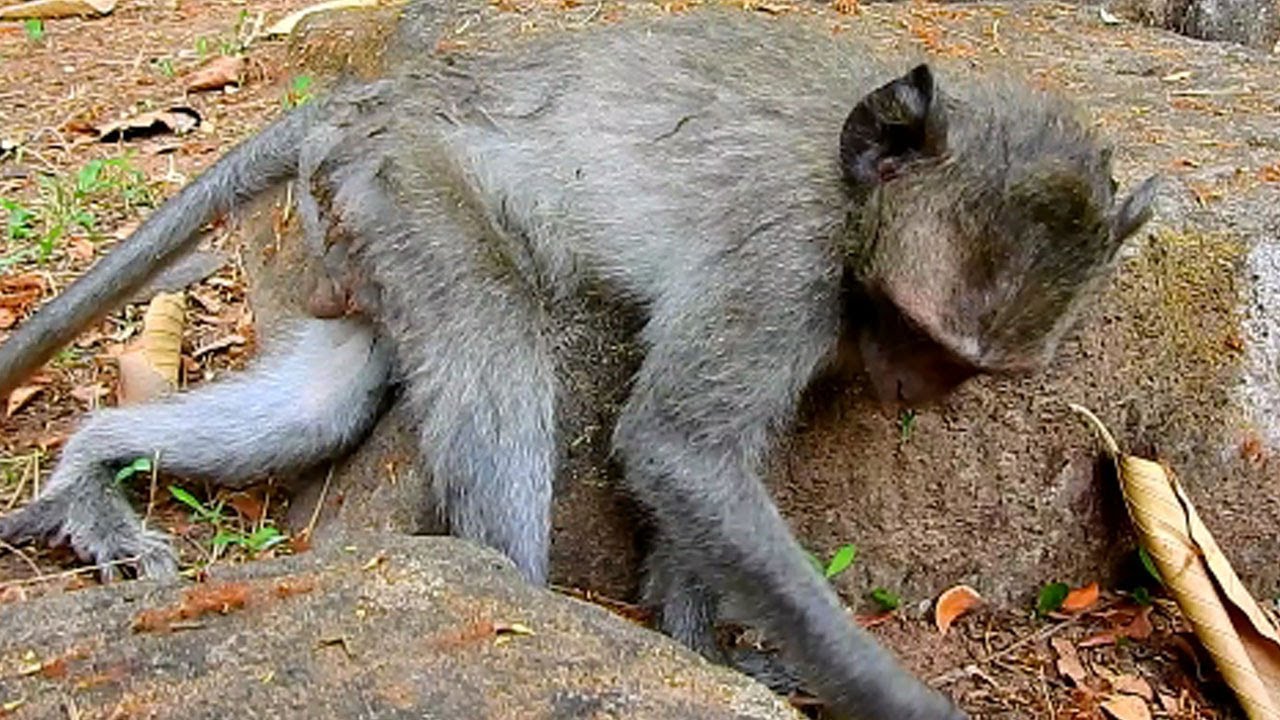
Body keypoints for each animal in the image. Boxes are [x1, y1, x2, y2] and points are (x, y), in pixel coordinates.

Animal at [0, 8, 1159, 720]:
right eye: (923, 339)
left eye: (964, 369)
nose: (917, 390)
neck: (856, 191)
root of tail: (369, 97)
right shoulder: (781, 256)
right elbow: (678, 448)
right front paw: (889, 699)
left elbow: (693, 470)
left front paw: (702, 646)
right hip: (403, 180)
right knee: (493, 337)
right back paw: (520, 602)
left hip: (353, 227)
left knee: (323, 403)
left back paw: (89, 472)